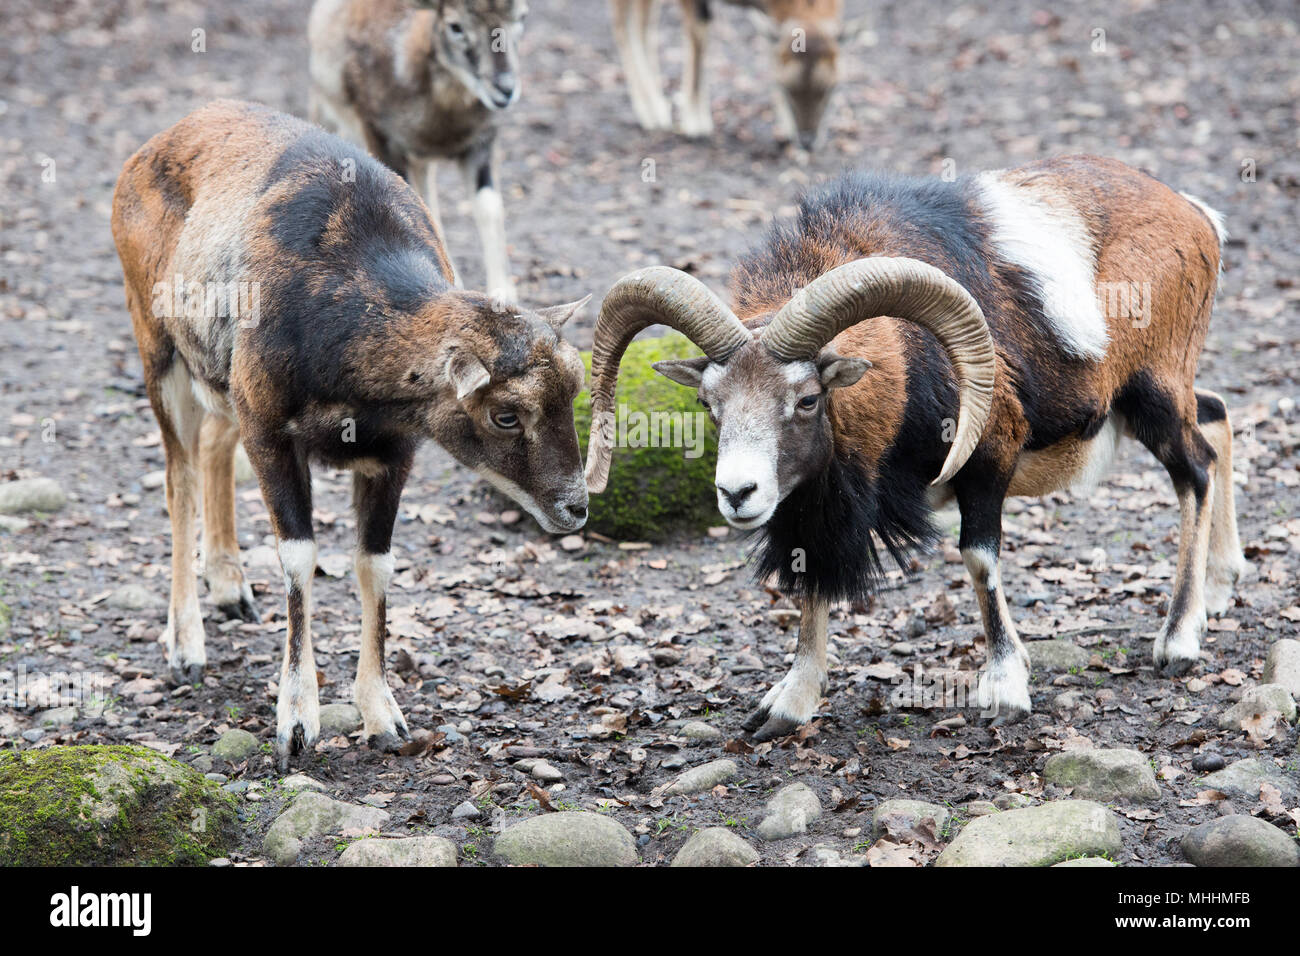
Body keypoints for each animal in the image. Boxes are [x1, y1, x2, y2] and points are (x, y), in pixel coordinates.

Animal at [111, 99, 590, 768]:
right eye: (505, 414)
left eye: (574, 392)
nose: (575, 506)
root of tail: (153, 146)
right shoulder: (270, 432)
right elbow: (299, 558)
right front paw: (295, 726)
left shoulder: (392, 454)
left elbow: (375, 565)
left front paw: (385, 718)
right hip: (158, 349)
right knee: (177, 475)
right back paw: (186, 648)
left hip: (220, 381)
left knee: (211, 447)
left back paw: (231, 588)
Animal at [308, 0, 528, 302]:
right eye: (455, 26)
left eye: (522, 17)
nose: (505, 89)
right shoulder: (380, 137)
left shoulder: (481, 143)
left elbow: (488, 208)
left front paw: (503, 295)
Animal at [584, 155, 1246, 740]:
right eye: (709, 404)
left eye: (808, 399)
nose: (737, 493)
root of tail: (1197, 217)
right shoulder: (820, 512)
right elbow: (814, 580)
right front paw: (787, 707)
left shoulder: (988, 460)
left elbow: (979, 560)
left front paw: (1004, 690)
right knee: (1215, 418)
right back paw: (1221, 587)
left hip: (1154, 393)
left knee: (1195, 471)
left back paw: (1179, 641)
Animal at [611, 0, 848, 148]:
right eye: (787, 88)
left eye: (832, 88)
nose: (807, 142)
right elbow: (698, 32)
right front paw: (696, 124)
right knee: (622, 23)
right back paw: (650, 112)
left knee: (644, 24)